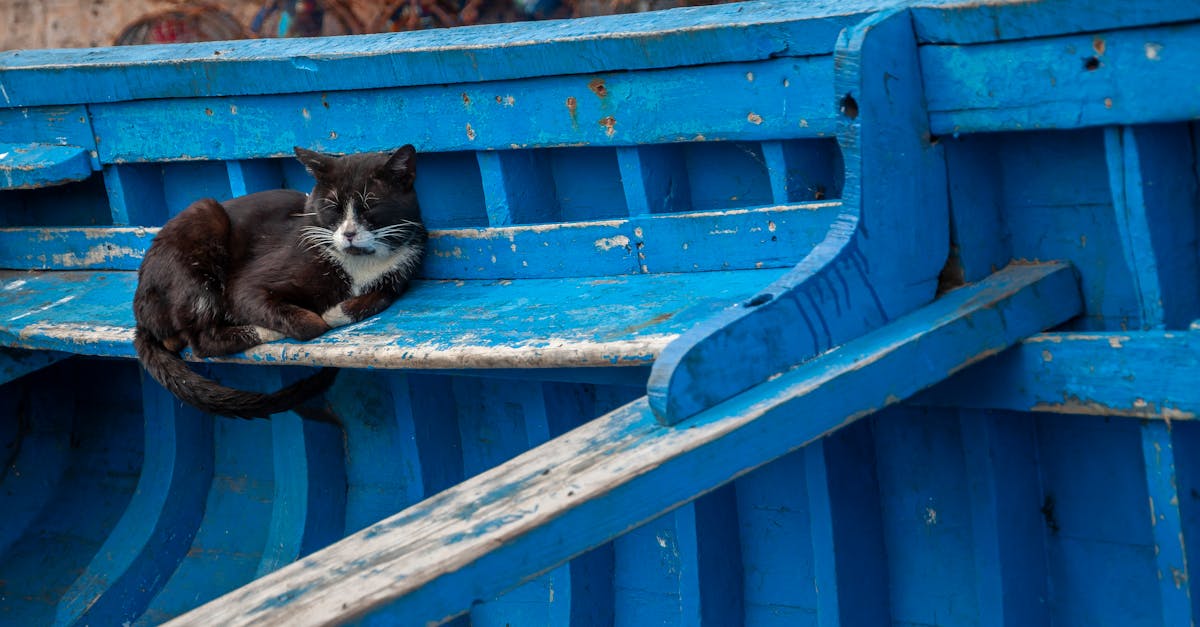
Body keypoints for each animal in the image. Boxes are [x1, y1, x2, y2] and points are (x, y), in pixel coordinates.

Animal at [133, 144, 427, 418]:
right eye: (333, 207)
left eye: (370, 205)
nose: (349, 233)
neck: (359, 263)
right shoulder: (246, 288)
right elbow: (310, 324)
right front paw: (320, 317)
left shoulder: (402, 268)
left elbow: (383, 295)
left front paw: (338, 311)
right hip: (203, 222)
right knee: (201, 339)